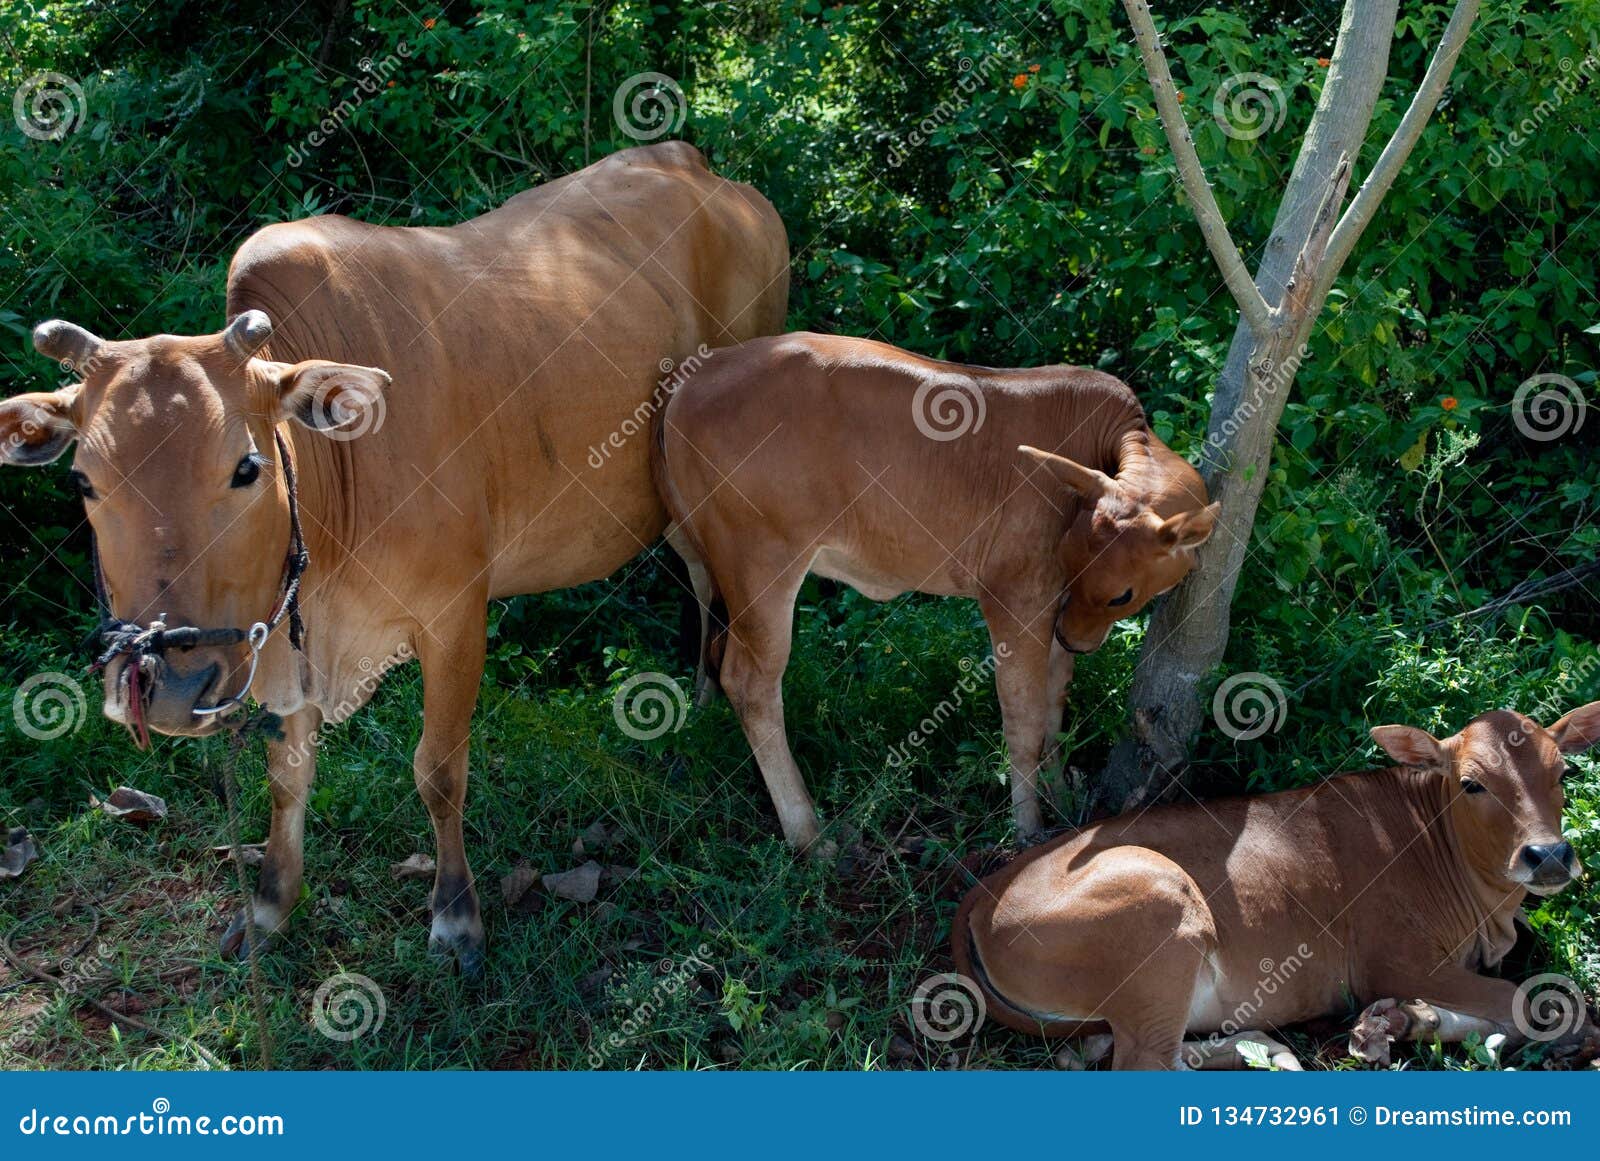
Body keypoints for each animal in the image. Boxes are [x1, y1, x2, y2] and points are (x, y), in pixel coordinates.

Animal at [0, 143, 789, 974]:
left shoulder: (455, 614)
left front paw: (456, 917)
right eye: (84, 479)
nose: (170, 685)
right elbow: (287, 778)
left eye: (246, 467)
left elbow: (437, 769)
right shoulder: (287, 638)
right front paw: (271, 905)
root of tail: (698, 166)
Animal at [652, 332, 1218, 851]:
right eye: (1120, 594)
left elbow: (1055, 704)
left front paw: (1061, 798)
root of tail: (696, 375)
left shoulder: (1054, 607)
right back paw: (811, 836)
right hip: (761, 563)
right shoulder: (1016, 598)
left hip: (706, 561)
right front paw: (1028, 828)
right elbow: (1024, 718)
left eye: (1105, 584)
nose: (1077, 638)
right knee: (750, 683)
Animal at [950, 704, 1600, 1069]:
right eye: (1471, 784)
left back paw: (1271, 1050)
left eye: (1563, 770)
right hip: (1160, 904)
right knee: (1144, 1066)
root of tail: (983, 891)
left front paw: (1408, 1022)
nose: (1548, 854)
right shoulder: (1393, 961)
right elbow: (1541, 1000)